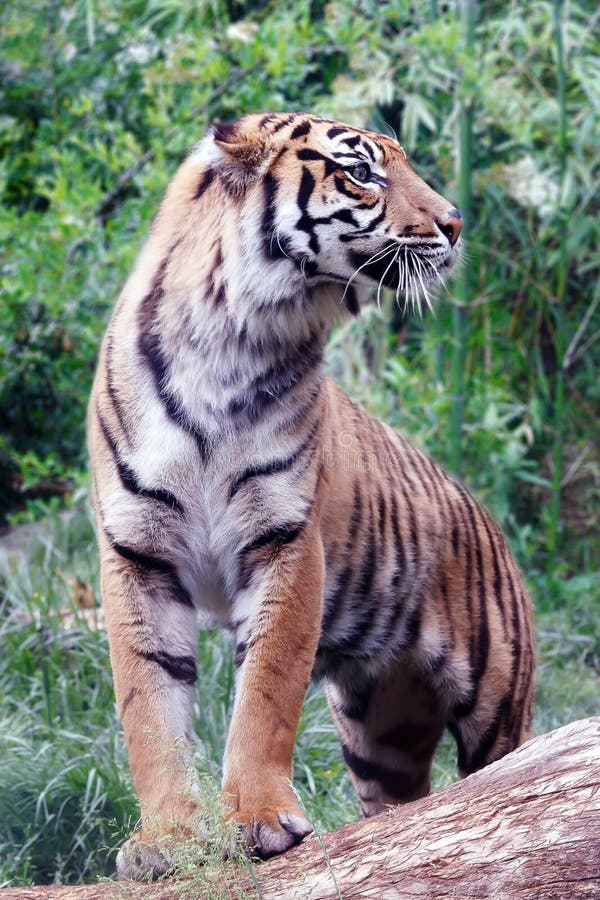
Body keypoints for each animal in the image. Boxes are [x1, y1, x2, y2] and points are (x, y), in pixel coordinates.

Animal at [88, 112, 535, 880]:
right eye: (361, 173)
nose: (454, 223)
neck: (230, 341)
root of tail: (486, 518)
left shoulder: (285, 540)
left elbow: (265, 692)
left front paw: (260, 820)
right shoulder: (137, 551)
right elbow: (148, 705)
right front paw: (167, 840)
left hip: (498, 704)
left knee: (503, 774)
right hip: (381, 731)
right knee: (407, 810)